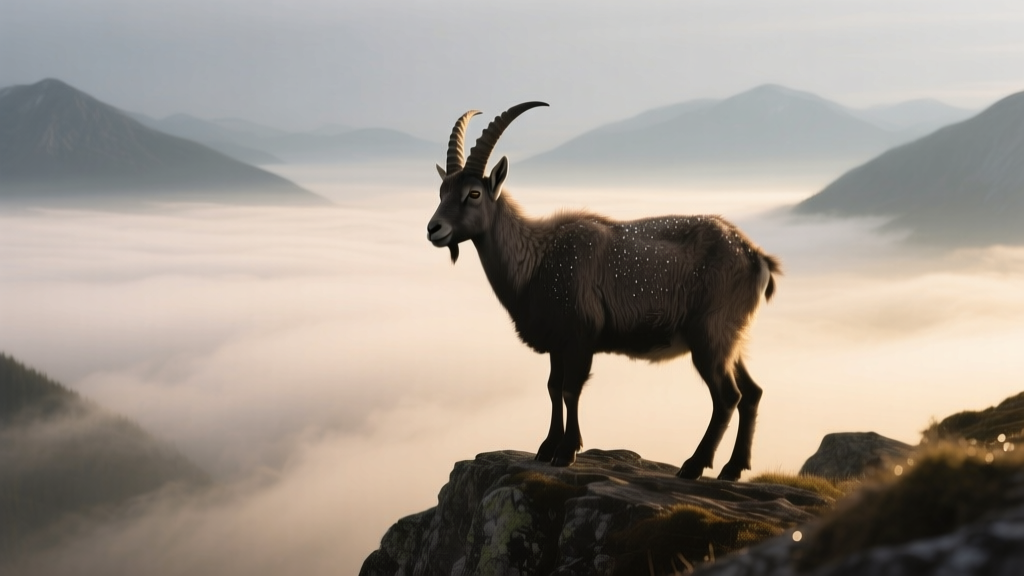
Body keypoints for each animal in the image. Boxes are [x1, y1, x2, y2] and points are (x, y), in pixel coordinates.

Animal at [426, 102, 781, 480]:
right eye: (442, 192)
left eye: (473, 193)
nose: (434, 228)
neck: (537, 259)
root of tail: (756, 256)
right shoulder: (557, 342)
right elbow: (552, 387)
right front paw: (546, 448)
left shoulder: (580, 335)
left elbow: (571, 389)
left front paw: (567, 451)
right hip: (731, 337)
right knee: (752, 392)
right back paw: (733, 467)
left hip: (710, 336)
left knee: (728, 397)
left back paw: (694, 465)